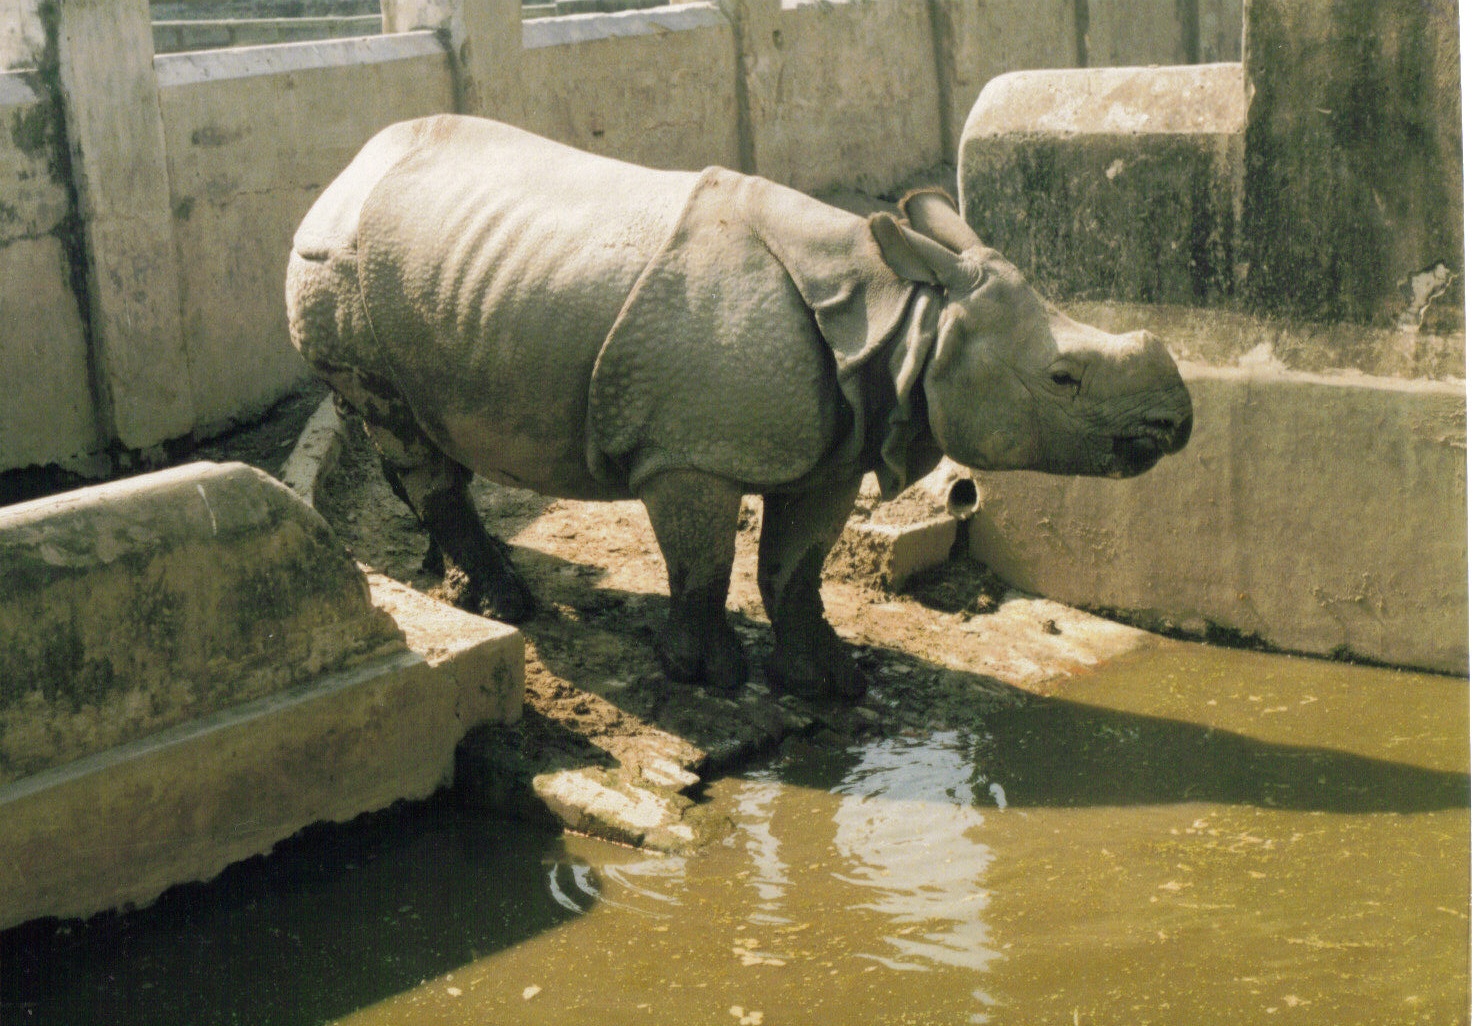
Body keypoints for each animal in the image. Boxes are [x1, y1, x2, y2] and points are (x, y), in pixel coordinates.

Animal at [287, 115, 1192, 700]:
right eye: (1064, 379)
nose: (1177, 421)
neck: (904, 316)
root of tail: (343, 171)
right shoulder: (691, 453)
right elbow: (704, 564)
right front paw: (708, 676)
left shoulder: (835, 448)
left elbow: (795, 566)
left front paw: (828, 682)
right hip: (337, 267)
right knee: (402, 431)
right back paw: (509, 605)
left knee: (422, 435)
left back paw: (456, 585)